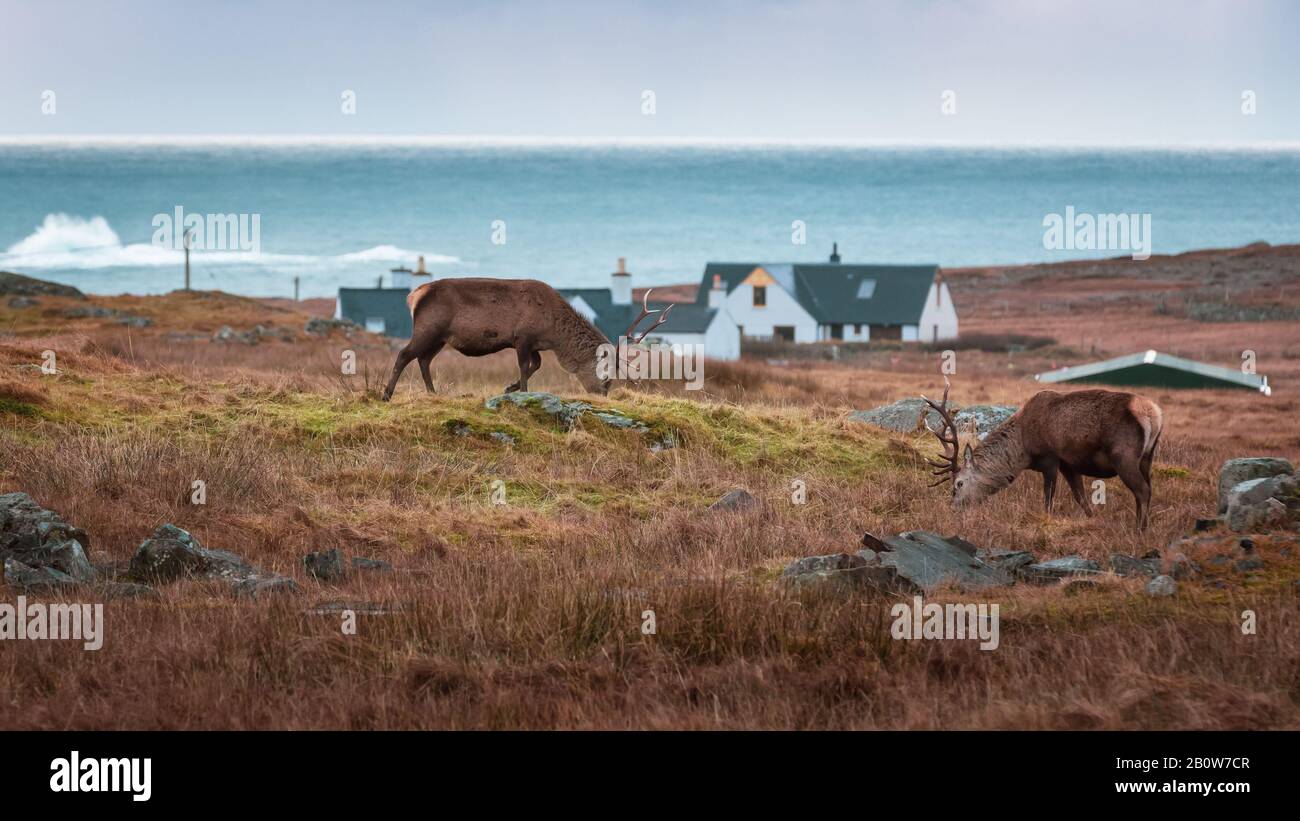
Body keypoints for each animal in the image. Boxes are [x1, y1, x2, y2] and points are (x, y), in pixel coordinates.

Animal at [380, 278, 671, 400]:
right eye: (608, 376)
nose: (603, 396)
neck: (553, 331)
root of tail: (415, 295)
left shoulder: (534, 344)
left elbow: (536, 365)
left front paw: (510, 387)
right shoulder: (522, 337)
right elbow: (524, 366)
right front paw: (522, 391)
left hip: (440, 337)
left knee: (424, 359)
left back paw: (433, 392)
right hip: (428, 327)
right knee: (405, 354)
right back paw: (386, 393)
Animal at [921, 379, 1164, 529]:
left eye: (959, 483)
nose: (953, 508)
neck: (1023, 449)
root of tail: (1153, 414)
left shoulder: (1050, 458)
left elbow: (1047, 498)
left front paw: (1045, 521)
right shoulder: (1068, 464)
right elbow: (1081, 497)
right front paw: (1093, 520)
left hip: (1124, 454)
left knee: (1142, 490)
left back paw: (1139, 531)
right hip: (1148, 457)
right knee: (1148, 489)